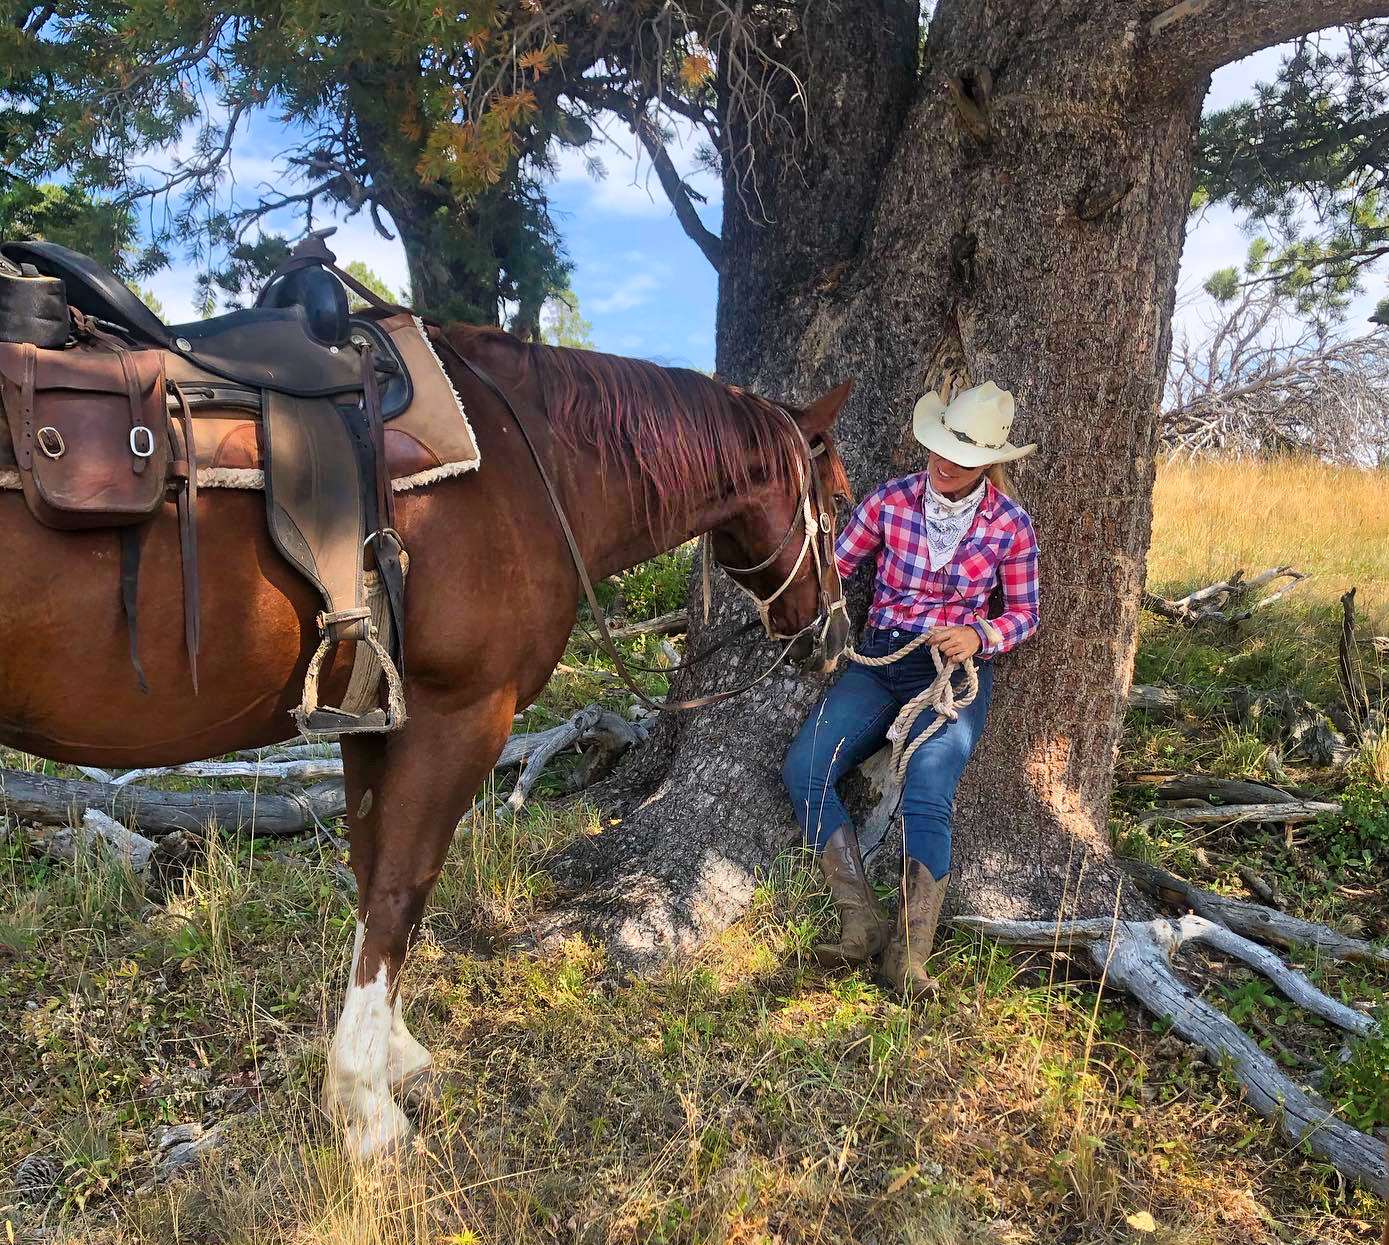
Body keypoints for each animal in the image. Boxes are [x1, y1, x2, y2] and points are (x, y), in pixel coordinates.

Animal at [0, 323, 852, 1158]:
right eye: (841, 503)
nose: (834, 638)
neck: (532, 458)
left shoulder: (373, 721)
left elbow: (373, 877)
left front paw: (395, 1053)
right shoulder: (461, 715)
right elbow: (402, 890)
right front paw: (365, 1107)